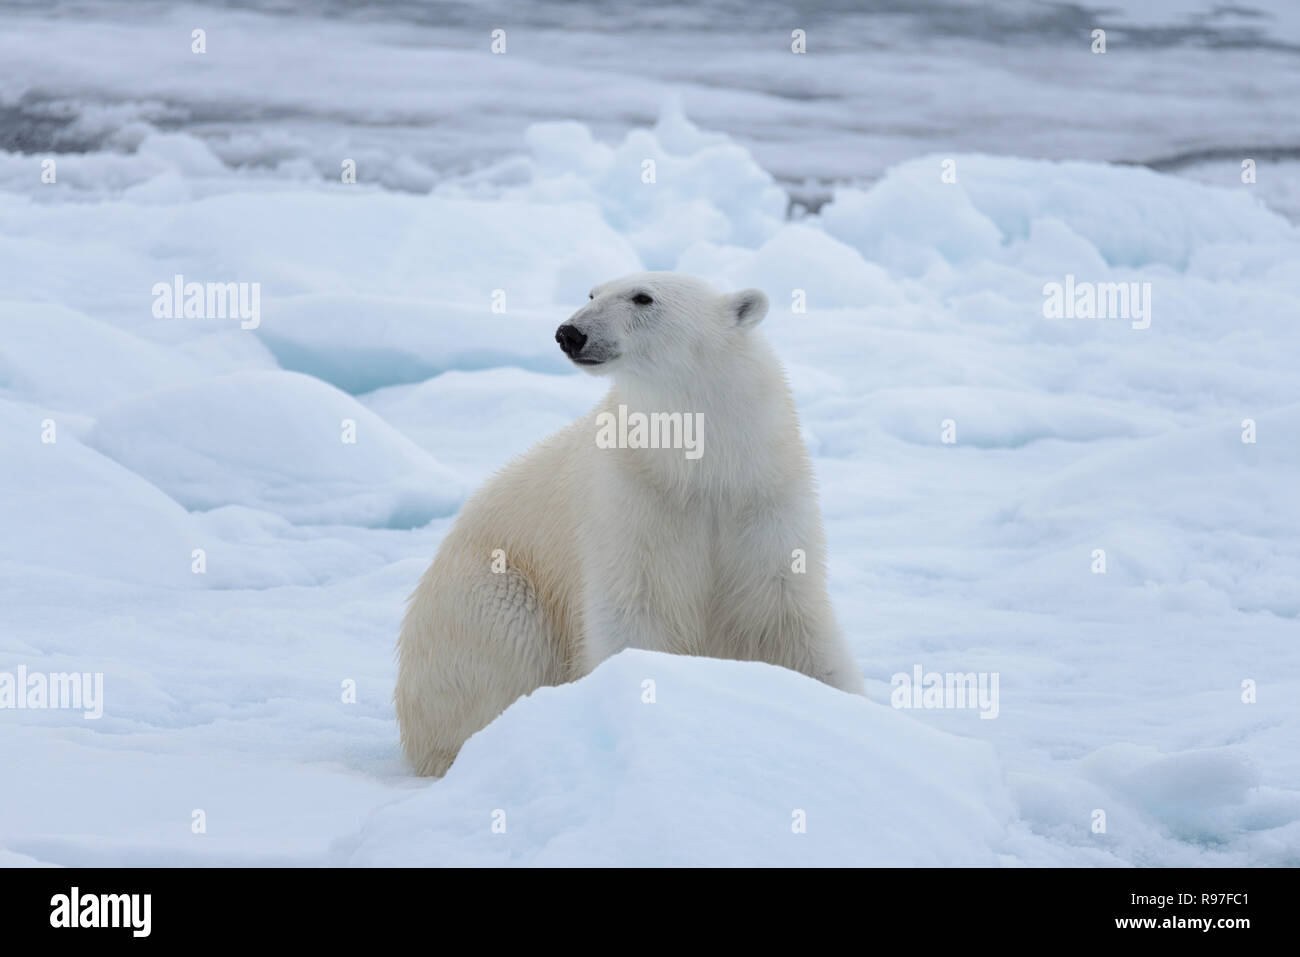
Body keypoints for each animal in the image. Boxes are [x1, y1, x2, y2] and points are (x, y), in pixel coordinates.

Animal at [395, 272, 864, 776]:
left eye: (643, 297)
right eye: (592, 294)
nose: (570, 333)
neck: (702, 471)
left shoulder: (763, 499)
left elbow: (788, 616)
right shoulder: (632, 505)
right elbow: (633, 611)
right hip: (485, 592)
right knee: (503, 641)